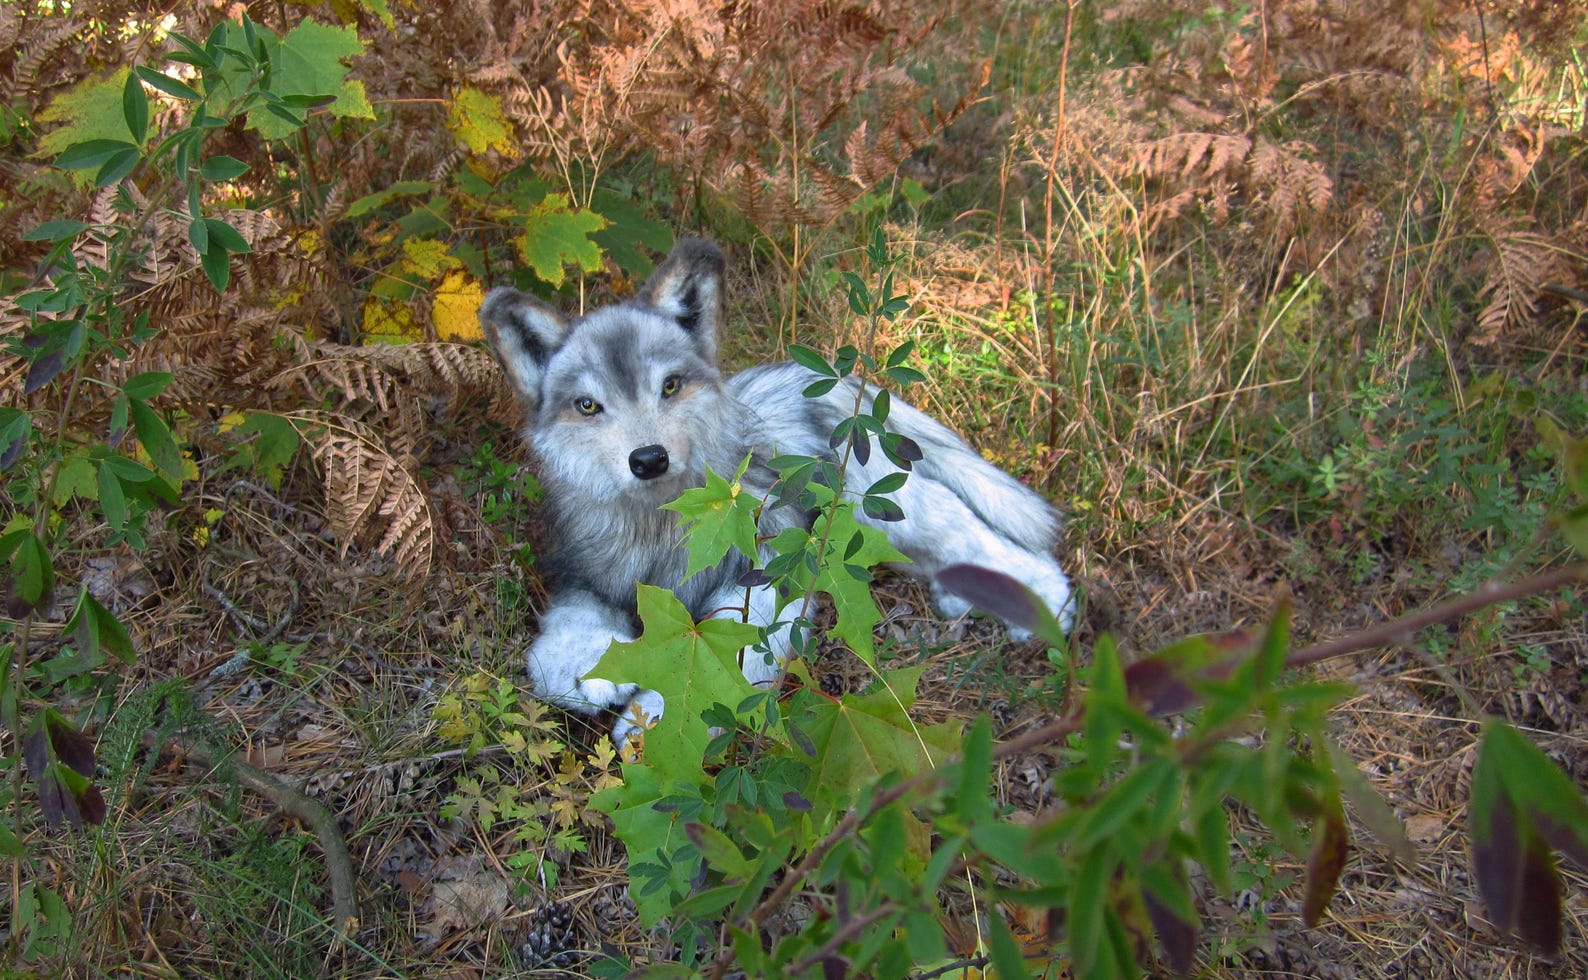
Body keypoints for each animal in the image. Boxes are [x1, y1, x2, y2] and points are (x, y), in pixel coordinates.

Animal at [479, 238, 1074, 744]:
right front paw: (591, 672)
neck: (663, 521)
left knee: (982, 537)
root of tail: (820, 381)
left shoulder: (765, 576)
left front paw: (654, 719)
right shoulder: (582, 574)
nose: (648, 460)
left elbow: (722, 653)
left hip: (891, 511)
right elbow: (560, 644)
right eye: (588, 405)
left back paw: (1043, 601)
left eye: (670, 386)